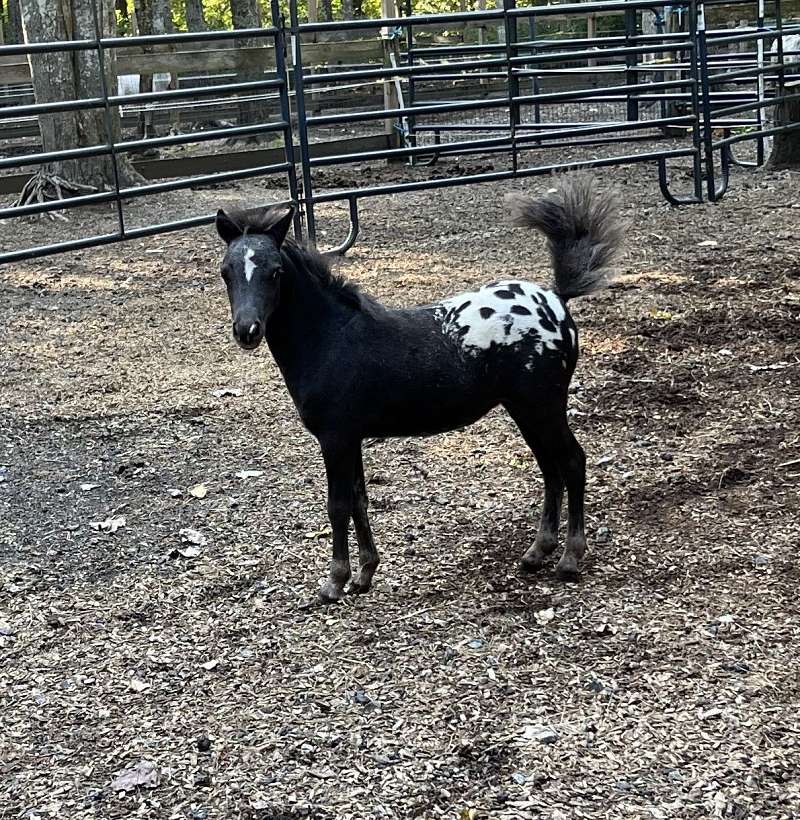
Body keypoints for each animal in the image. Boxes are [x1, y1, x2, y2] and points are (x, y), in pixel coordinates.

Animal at [215, 175, 622, 603]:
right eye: (226, 271)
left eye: (275, 272)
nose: (247, 331)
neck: (332, 338)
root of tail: (556, 300)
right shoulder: (351, 437)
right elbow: (359, 499)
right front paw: (365, 575)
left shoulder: (335, 438)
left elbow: (338, 505)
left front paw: (335, 582)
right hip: (524, 409)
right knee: (550, 468)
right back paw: (537, 552)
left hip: (543, 406)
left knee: (572, 462)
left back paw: (570, 558)